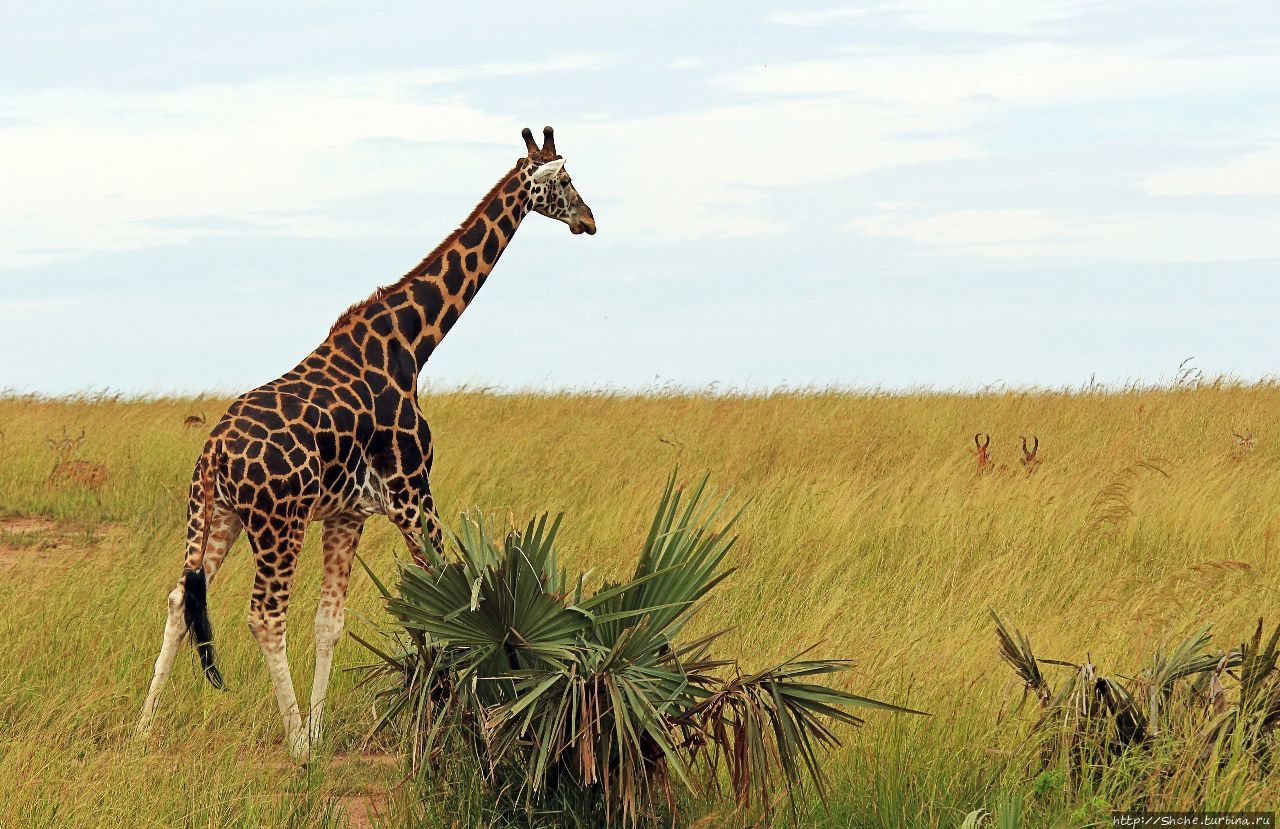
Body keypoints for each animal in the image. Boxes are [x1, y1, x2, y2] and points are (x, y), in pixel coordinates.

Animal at [137, 124, 596, 762]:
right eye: (568, 180)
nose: (589, 220)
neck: (411, 342)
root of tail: (213, 455)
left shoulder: (348, 512)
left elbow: (331, 621)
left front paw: (323, 725)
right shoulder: (412, 491)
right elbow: (451, 600)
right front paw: (460, 714)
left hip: (214, 516)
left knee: (181, 600)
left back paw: (144, 727)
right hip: (278, 523)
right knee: (264, 615)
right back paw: (295, 746)